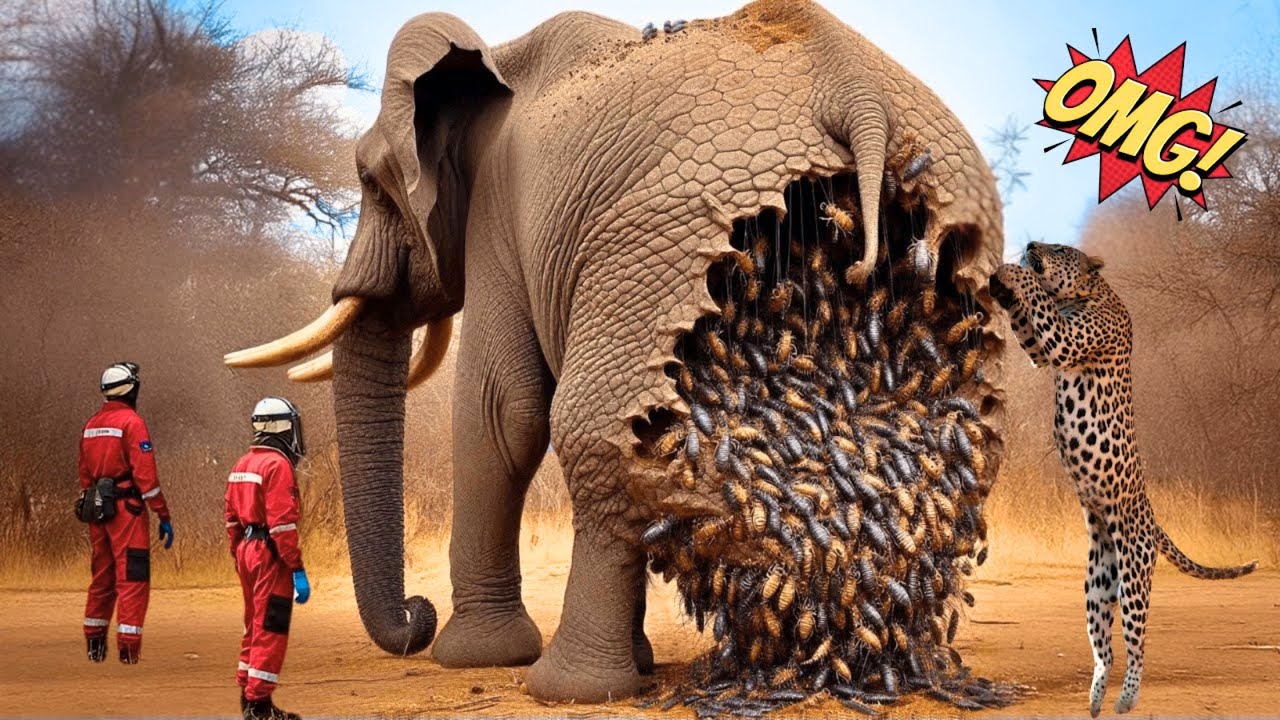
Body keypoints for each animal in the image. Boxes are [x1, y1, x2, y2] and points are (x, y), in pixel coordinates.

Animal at [224, 0, 1007, 703]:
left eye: (373, 183)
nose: (416, 618)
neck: (497, 59)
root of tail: (858, 99)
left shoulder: (499, 213)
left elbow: (499, 412)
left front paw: (473, 657)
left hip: (651, 239)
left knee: (589, 431)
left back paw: (568, 689)